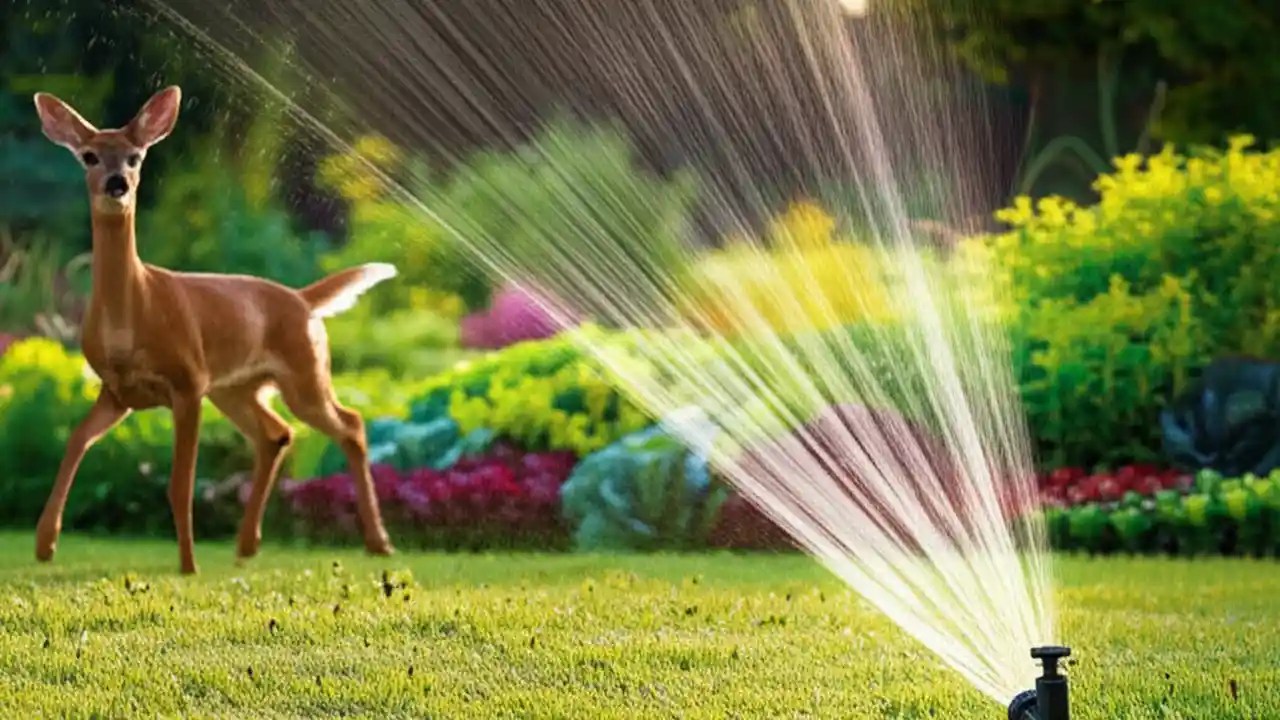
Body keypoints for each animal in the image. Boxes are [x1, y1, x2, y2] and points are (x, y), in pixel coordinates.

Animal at [32, 85, 396, 574]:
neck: (134, 313)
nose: (117, 184)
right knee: (276, 434)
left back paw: (379, 542)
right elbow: (74, 442)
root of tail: (303, 299)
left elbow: (180, 482)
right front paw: (45, 544)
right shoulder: (117, 391)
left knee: (350, 423)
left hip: (305, 371)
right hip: (235, 387)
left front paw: (188, 564)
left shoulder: (188, 381)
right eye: (89, 156)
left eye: (134, 157)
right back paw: (246, 545)